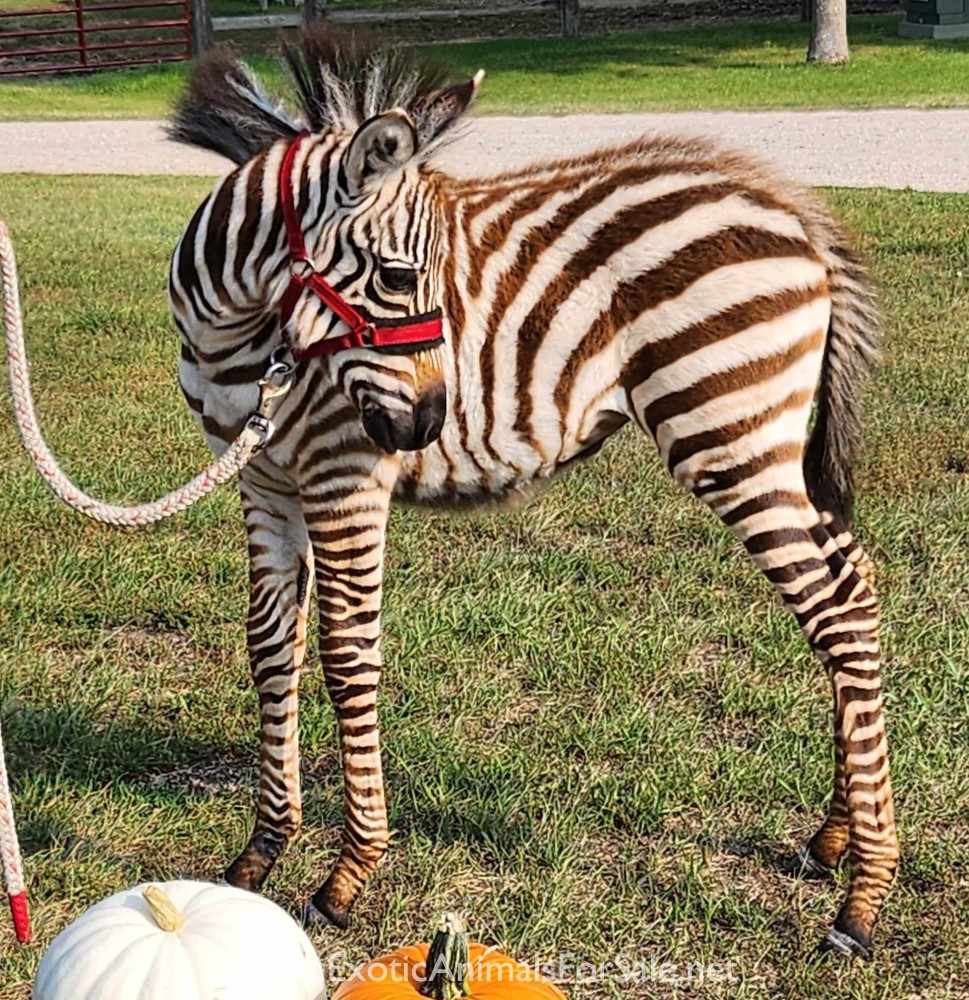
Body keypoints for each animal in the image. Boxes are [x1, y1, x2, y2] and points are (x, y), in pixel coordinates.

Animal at [167, 28, 898, 957]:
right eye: (400, 276)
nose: (426, 423)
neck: (241, 336)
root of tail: (787, 208)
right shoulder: (263, 480)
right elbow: (269, 646)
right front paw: (262, 850)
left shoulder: (343, 475)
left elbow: (345, 653)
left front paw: (347, 874)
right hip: (768, 445)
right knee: (852, 584)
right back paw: (834, 838)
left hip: (729, 436)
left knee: (834, 610)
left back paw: (863, 900)